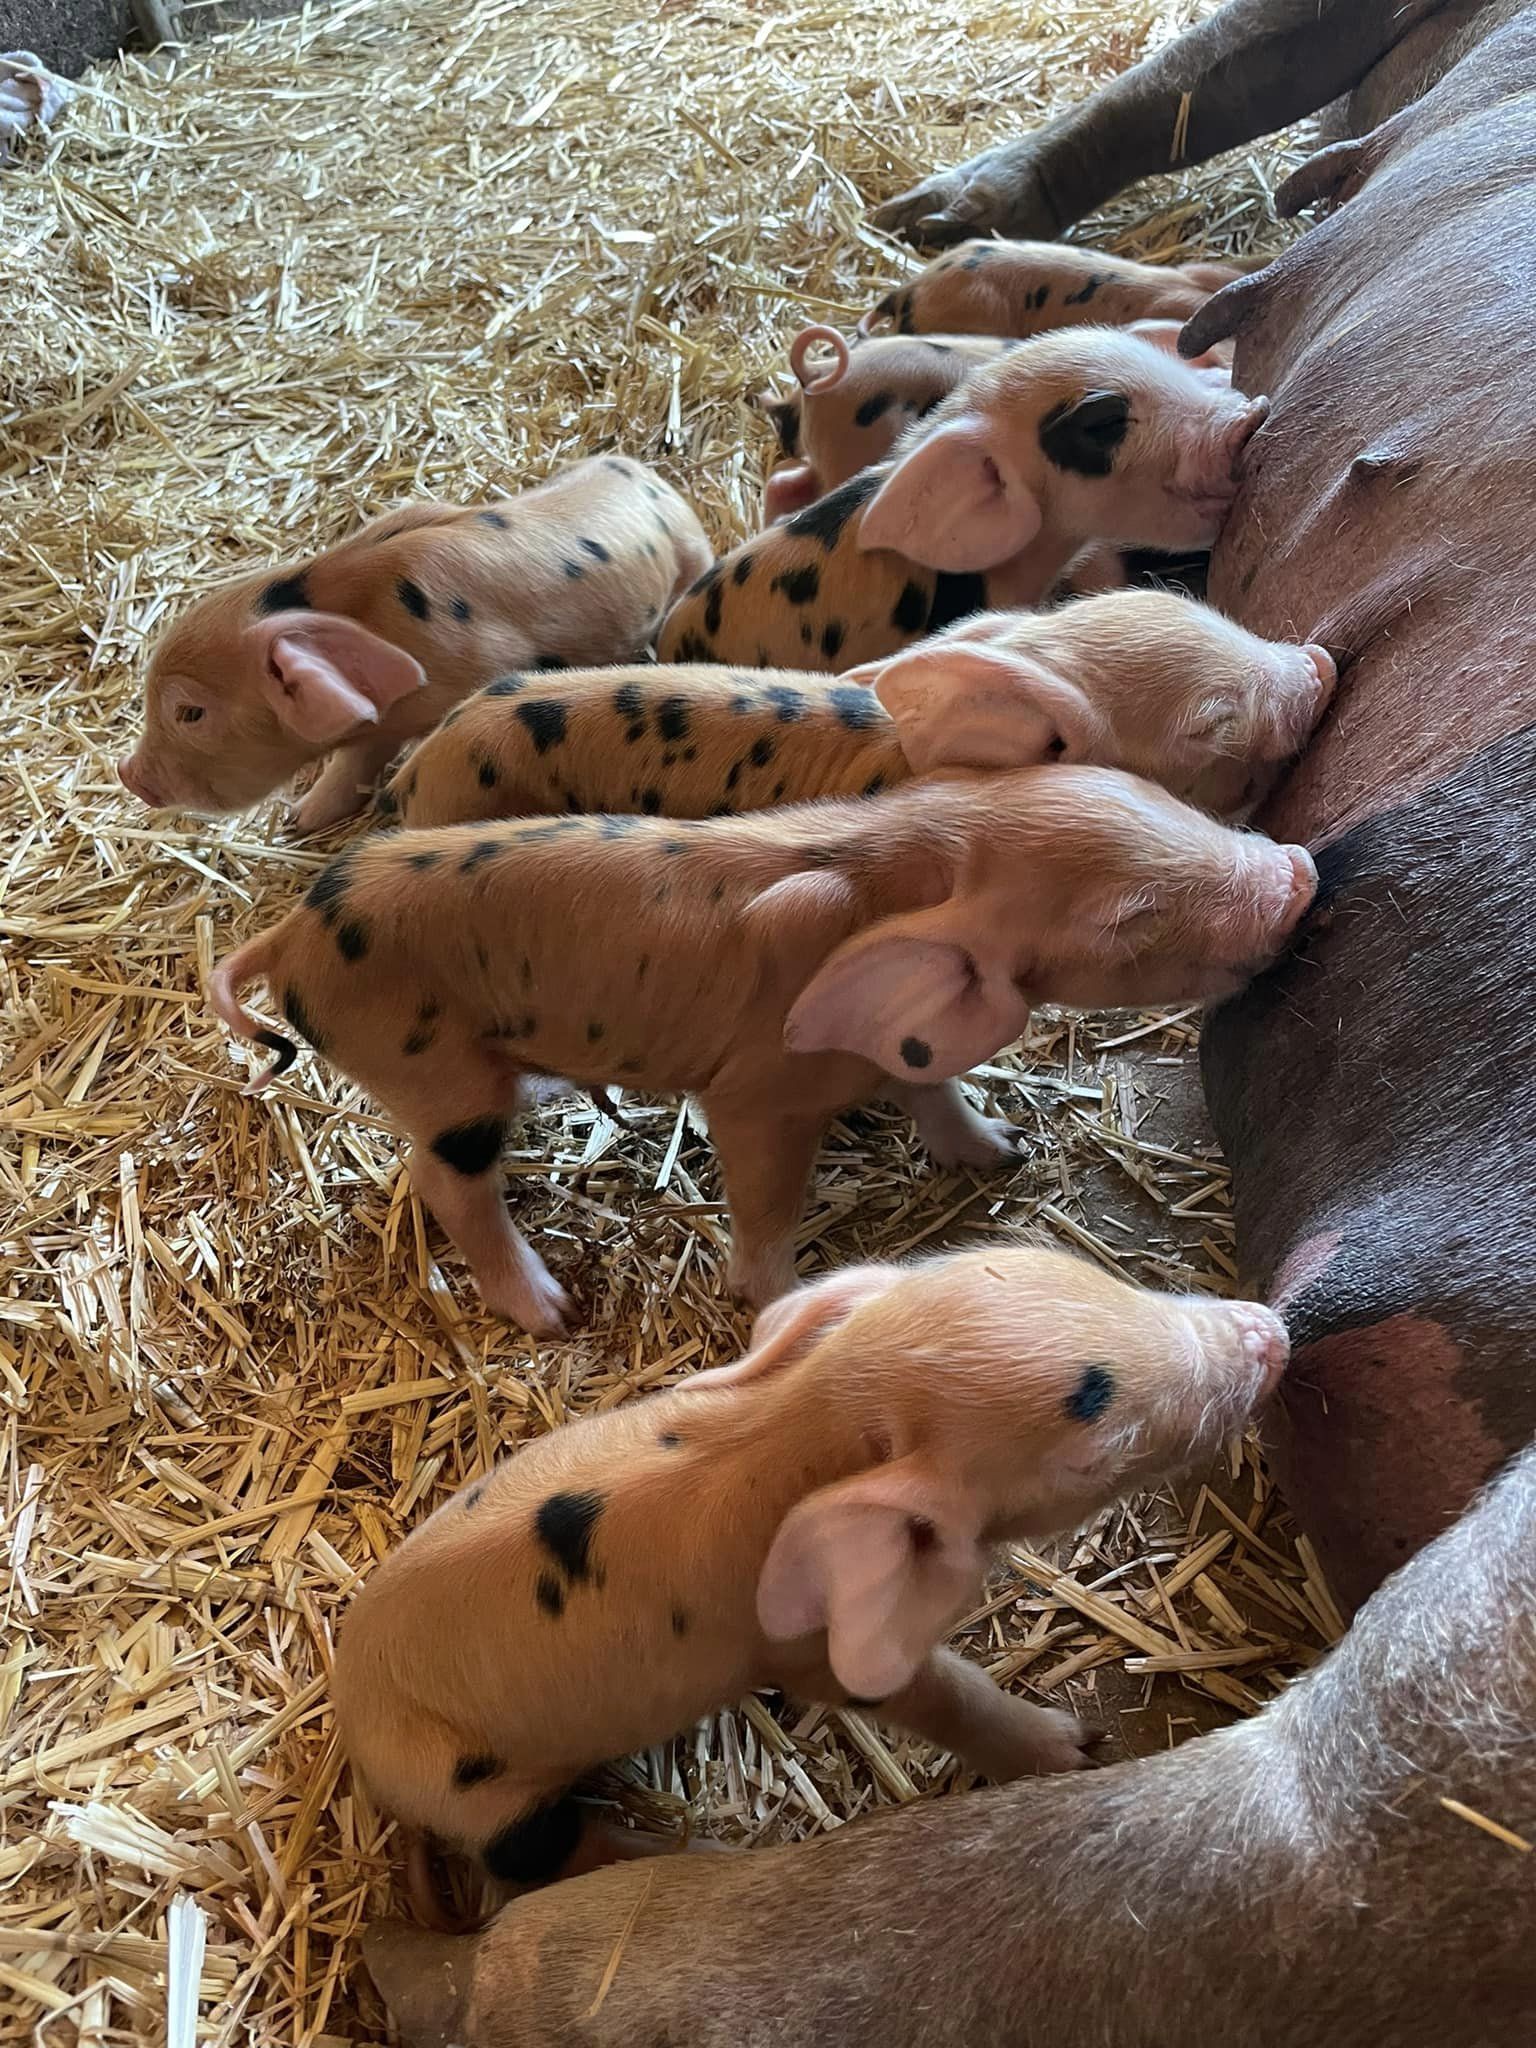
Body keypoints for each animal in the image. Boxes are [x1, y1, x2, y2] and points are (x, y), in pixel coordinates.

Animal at [116, 458, 711, 833]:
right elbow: (353, 762)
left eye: (189, 713)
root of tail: (649, 475)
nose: (128, 775)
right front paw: (296, 822)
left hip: (693, 557)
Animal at [207, 767, 1316, 1333]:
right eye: (1132, 916)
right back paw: (555, 1310)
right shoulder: (755, 1095)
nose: (1302, 873)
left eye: (1164, 798)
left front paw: (1004, 1152)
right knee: (448, 1182)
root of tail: (292, 935)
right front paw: (786, 1301)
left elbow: (937, 1090)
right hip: (440, 1072)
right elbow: (767, 1198)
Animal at [334, 1244, 1289, 1915]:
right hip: (484, 1799)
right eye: (1099, 1452)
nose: (1272, 1331)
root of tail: (358, 1748)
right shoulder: (812, 1653)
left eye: (1107, 1280)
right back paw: (708, 1859)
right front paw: (1077, 1749)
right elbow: (943, 1694)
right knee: (542, 1858)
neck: (805, 1428)